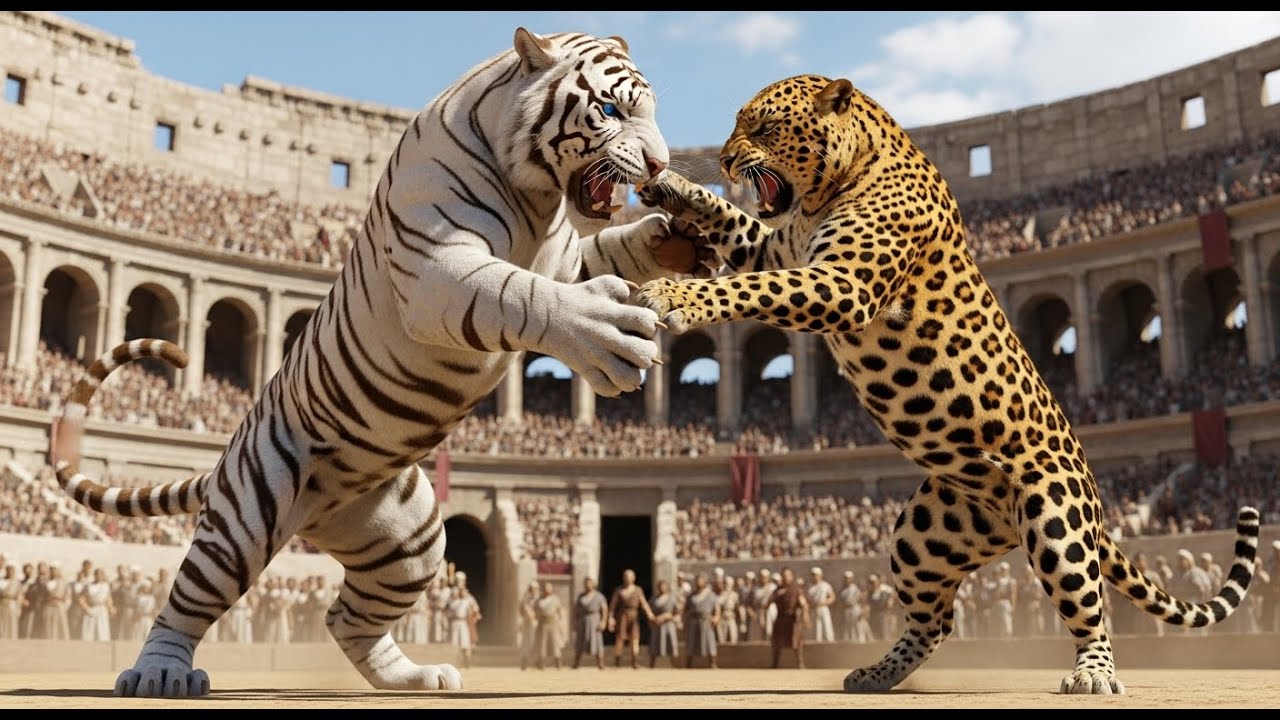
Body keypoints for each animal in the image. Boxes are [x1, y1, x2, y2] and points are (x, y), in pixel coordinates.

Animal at [48, 28, 708, 697]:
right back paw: (159, 672)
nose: (660, 166)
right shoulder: (441, 268)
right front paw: (607, 333)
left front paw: (671, 237)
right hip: (245, 520)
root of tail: (226, 463)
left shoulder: (567, 258)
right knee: (187, 599)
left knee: (348, 618)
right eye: (610, 110)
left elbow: (605, 252)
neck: (538, 199)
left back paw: (412, 676)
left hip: (409, 538)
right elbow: (522, 293)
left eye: (652, 113)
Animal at [633, 74, 1259, 694]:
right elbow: (735, 224)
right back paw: (878, 673)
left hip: (1054, 521)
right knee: (936, 622)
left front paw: (676, 295)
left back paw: (1094, 674)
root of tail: (1094, 498)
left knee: (1089, 606)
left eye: (764, 128)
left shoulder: (842, 285)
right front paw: (674, 187)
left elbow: (749, 289)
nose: (724, 158)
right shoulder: (778, 248)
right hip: (925, 535)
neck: (835, 184)